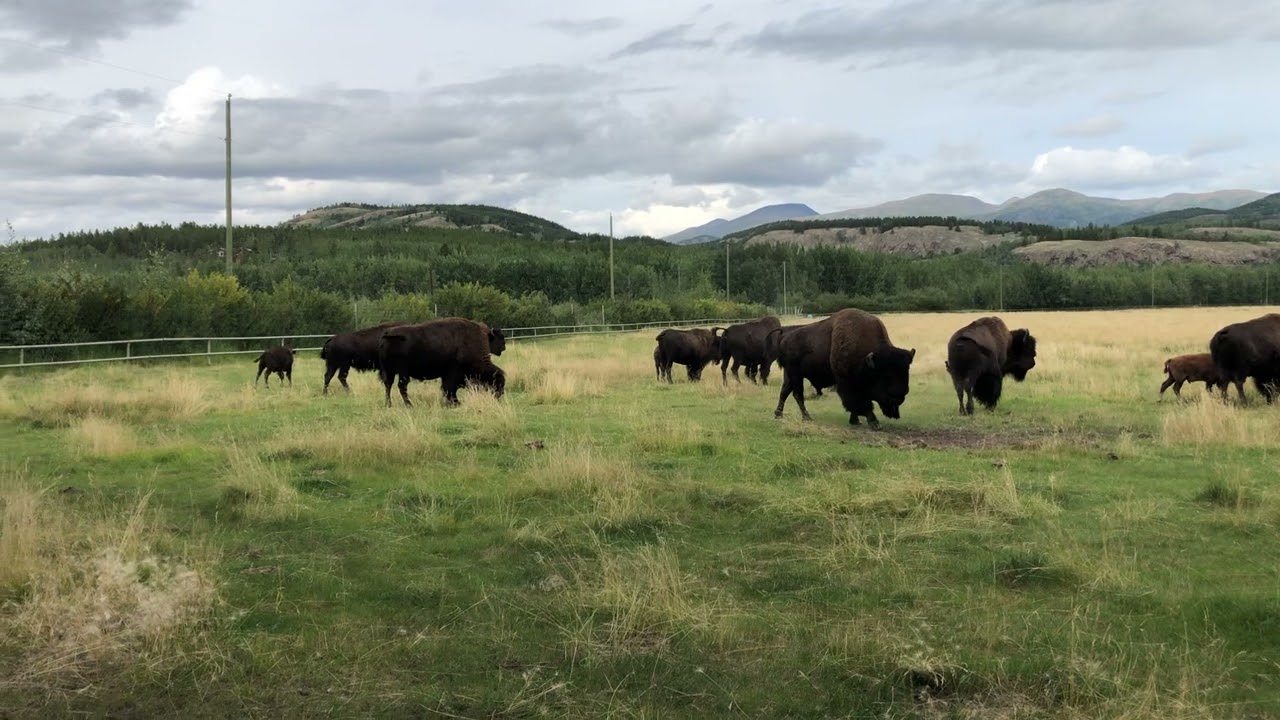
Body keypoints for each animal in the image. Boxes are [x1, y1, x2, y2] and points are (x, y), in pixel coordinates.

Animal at [378, 317, 506, 407]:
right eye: (497, 383)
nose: (499, 397)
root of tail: (388, 334)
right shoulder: (453, 373)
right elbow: (450, 388)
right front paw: (455, 403)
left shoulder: (447, 375)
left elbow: (447, 388)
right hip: (403, 371)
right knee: (401, 386)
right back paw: (409, 405)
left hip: (390, 371)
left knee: (388, 386)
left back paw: (389, 405)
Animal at [772, 308, 915, 426]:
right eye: (885, 376)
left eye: (906, 371)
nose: (899, 396)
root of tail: (784, 338)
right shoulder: (848, 384)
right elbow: (861, 403)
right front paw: (874, 422)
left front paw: (855, 421)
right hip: (795, 374)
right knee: (797, 394)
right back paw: (806, 417)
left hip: (790, 374)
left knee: (785, 392)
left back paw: (778, 415)